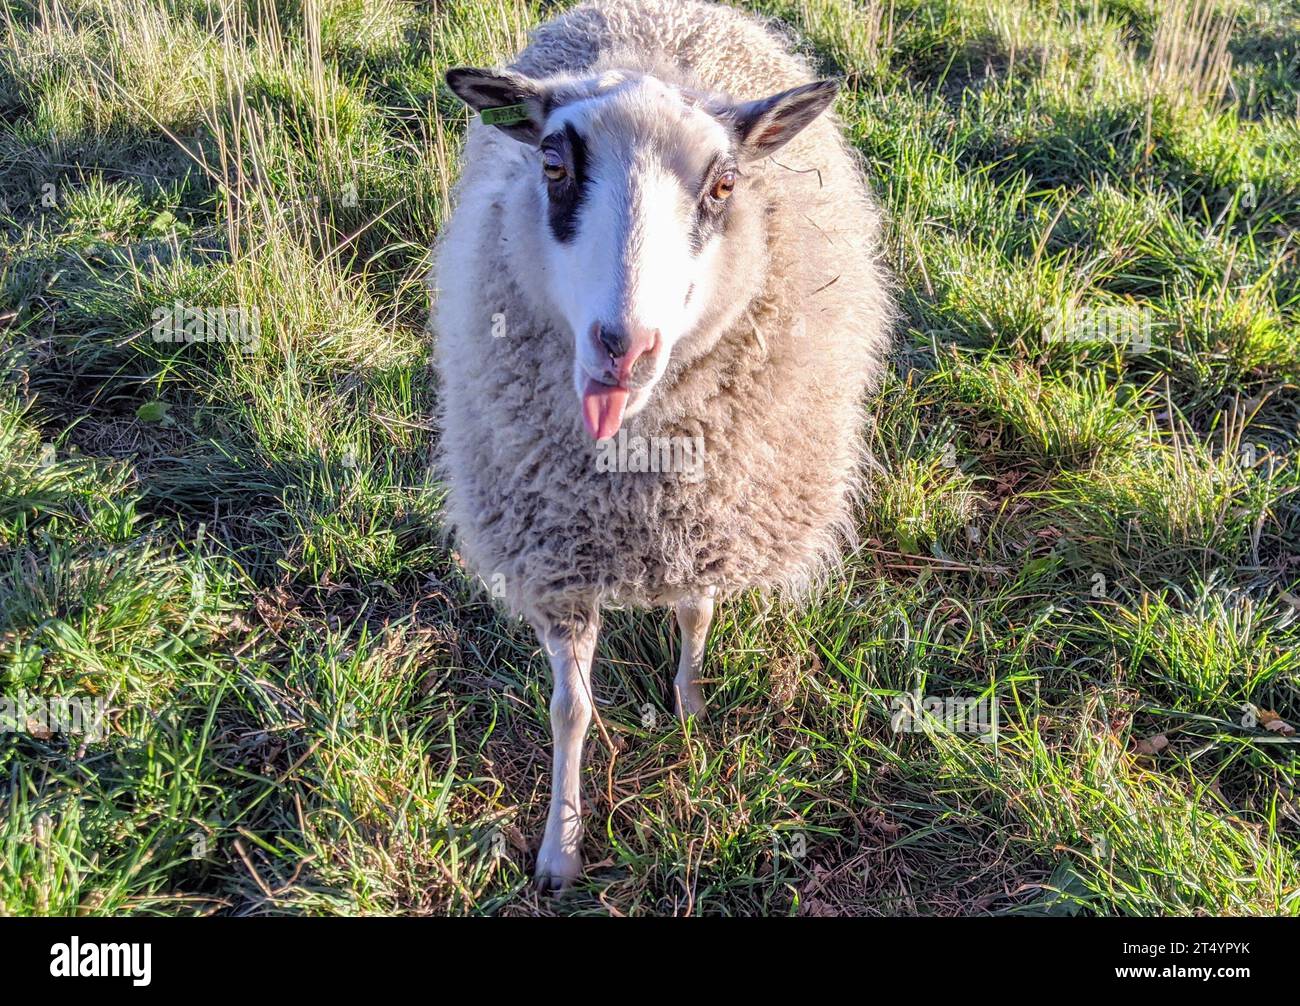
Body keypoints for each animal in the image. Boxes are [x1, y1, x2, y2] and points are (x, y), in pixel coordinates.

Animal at [431, 0, 893, 890]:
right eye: (552, 165)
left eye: (724, 185)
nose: (626, 347)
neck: (636, 483)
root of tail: (664, 11)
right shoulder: (558, 563)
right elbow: (570, 710)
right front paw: (561, 846)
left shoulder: (711, 523)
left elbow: (697, 611)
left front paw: (690, 709)